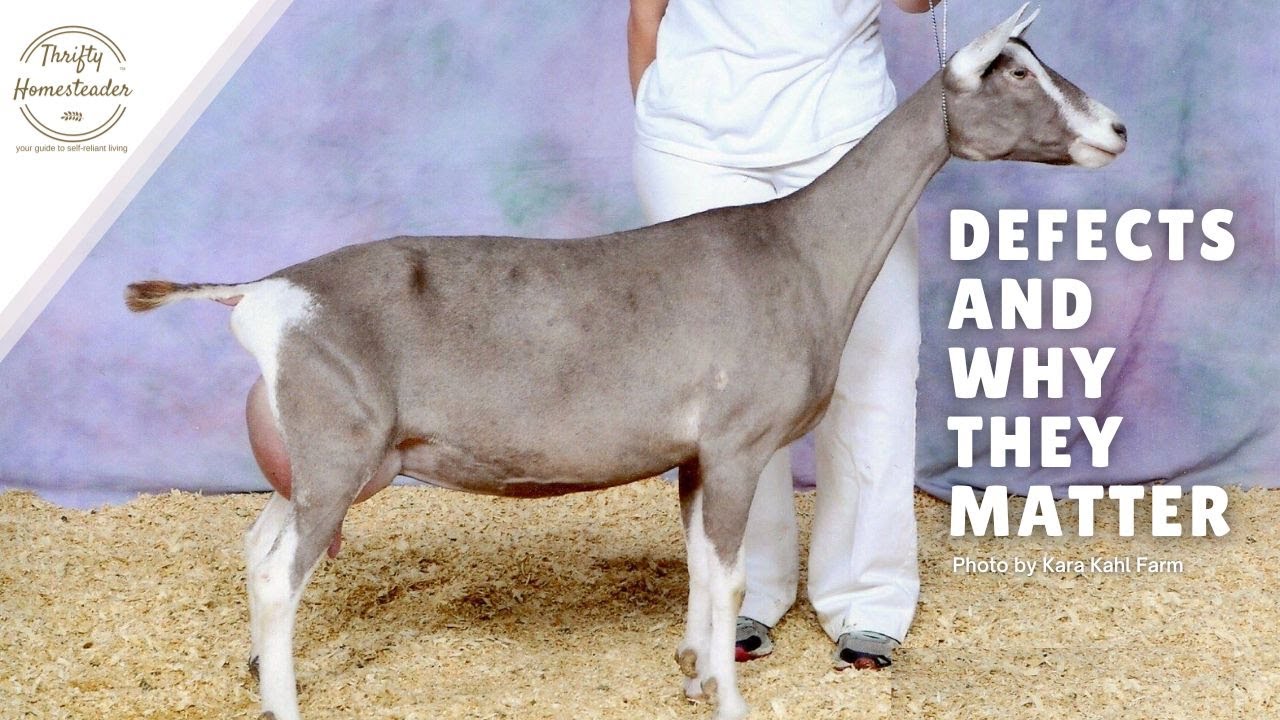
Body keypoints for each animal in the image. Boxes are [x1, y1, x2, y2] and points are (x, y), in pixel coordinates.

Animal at [125, 6, 1125, 719]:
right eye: (1016, 70)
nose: (1116, 129)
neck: (799, 246)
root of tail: (259, 293)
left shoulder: (693, 455)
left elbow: (700, 567)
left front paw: (692, 673)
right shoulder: (736, 442)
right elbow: (728, 573)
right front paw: (729, 698)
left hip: (319, 463)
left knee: (258, 546)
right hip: (341, 452)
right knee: (276, 573)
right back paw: (284, 702)